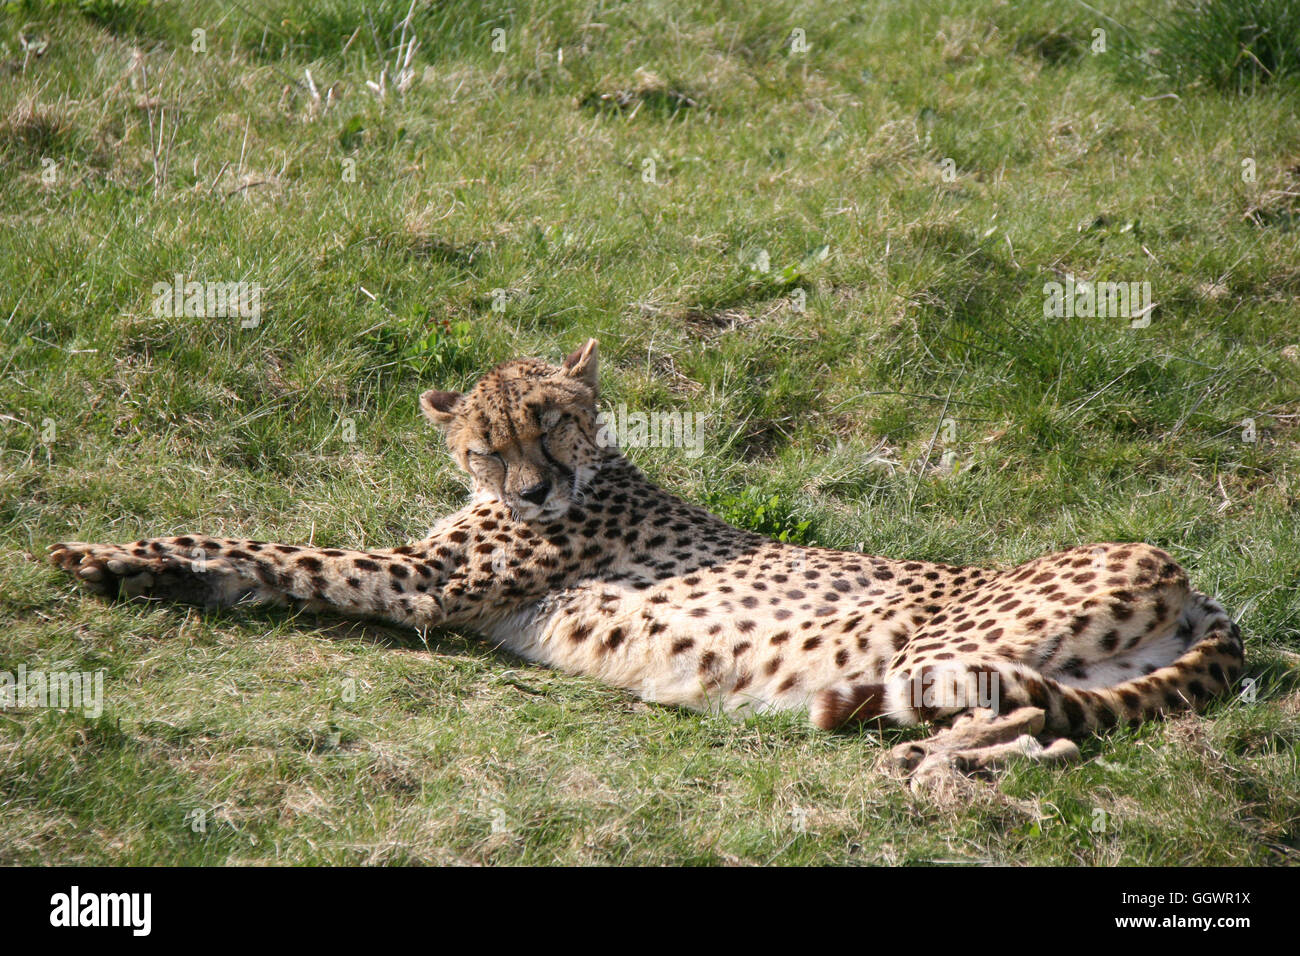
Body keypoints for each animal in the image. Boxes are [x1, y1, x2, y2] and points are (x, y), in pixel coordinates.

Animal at [47, 339, 1245, 784]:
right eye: (488, 441)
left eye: (555, 422)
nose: (534, 491)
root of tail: (1188, 573)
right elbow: (255, 557)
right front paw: (143, 570)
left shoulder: (426, 587)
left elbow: (260, 540)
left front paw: (113, 550)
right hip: (1033, 671)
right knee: (1050, 719)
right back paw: (964, 765)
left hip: (936, 652)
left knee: (1001, 710)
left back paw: (936, 770)